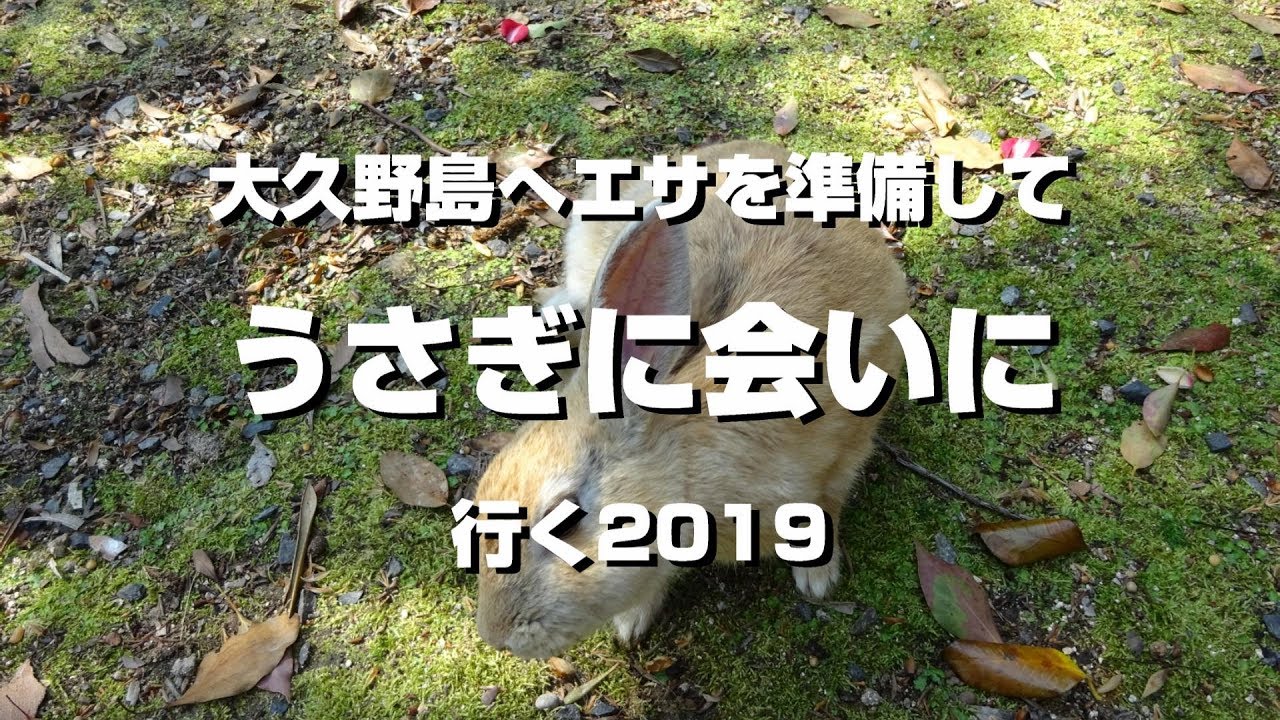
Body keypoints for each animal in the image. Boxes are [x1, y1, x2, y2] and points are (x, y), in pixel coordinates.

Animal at [473, 140, 910, 660]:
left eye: (565, 518)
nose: (495, 634)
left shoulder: (843, 450)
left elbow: (830, 506)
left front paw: (818, 580)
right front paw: (631, 622)